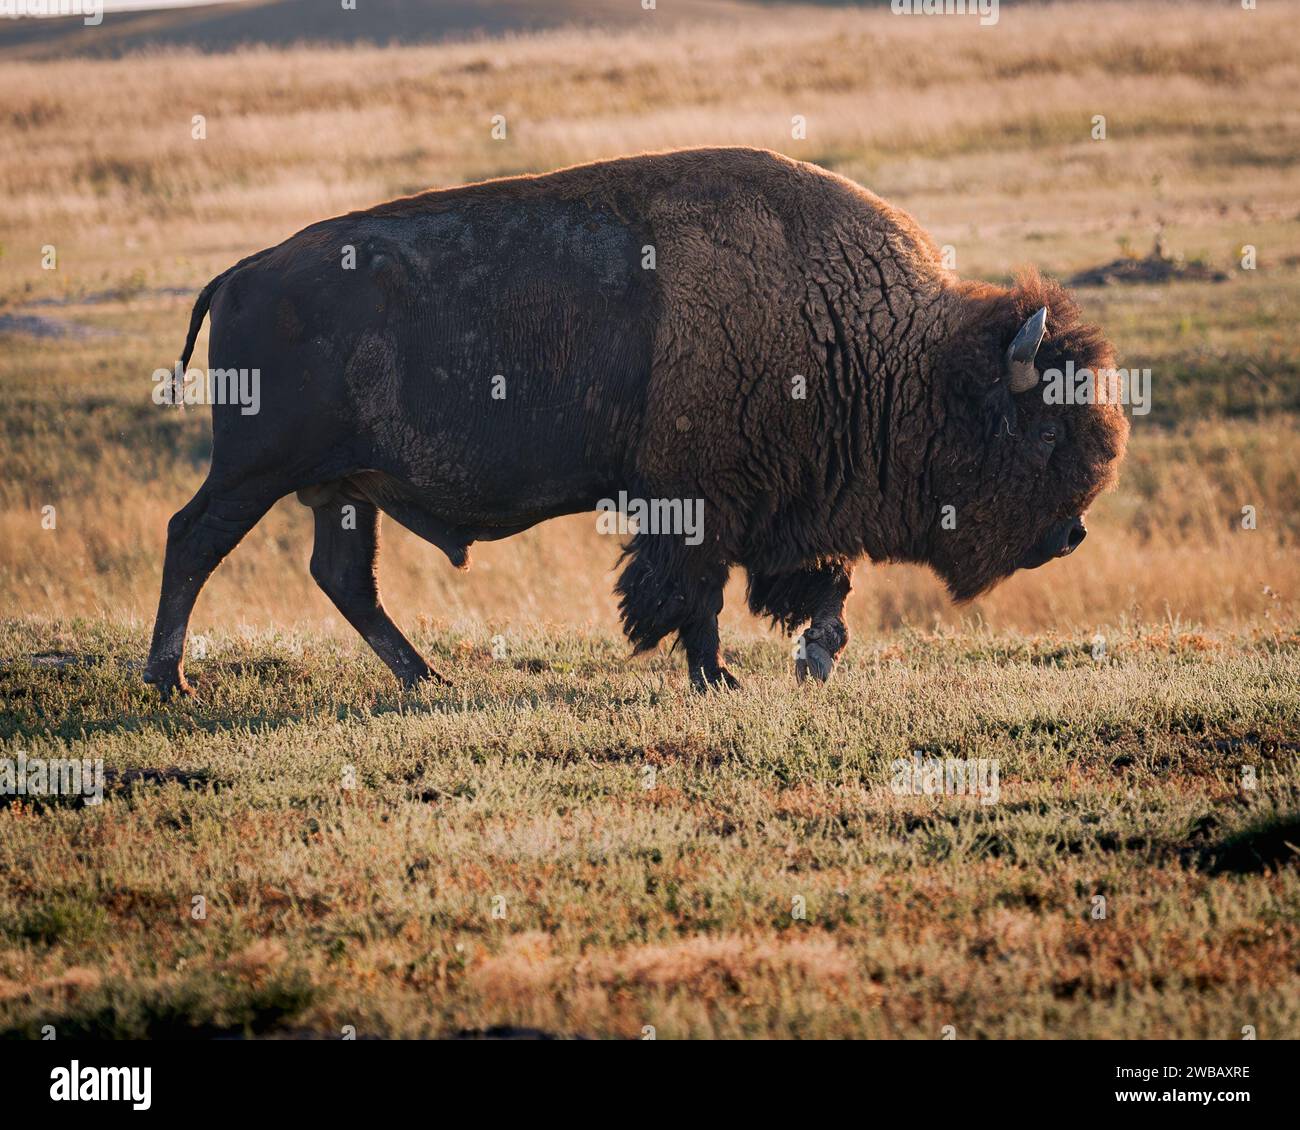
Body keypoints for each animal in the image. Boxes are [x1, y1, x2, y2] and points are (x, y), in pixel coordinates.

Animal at [145, 146, 1128, 696]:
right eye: (1044, 432)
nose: (1073, 533)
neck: (876, 345)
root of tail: (242, 272)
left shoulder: (776, 511)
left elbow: (817, 585)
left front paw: (811, 657)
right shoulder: (697, 504)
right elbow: (694, 594)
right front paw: (720, 678)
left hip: (341, 489)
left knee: (342, 578)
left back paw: (428, 680)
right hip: (256, 469)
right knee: (193, 538)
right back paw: (170, 682)